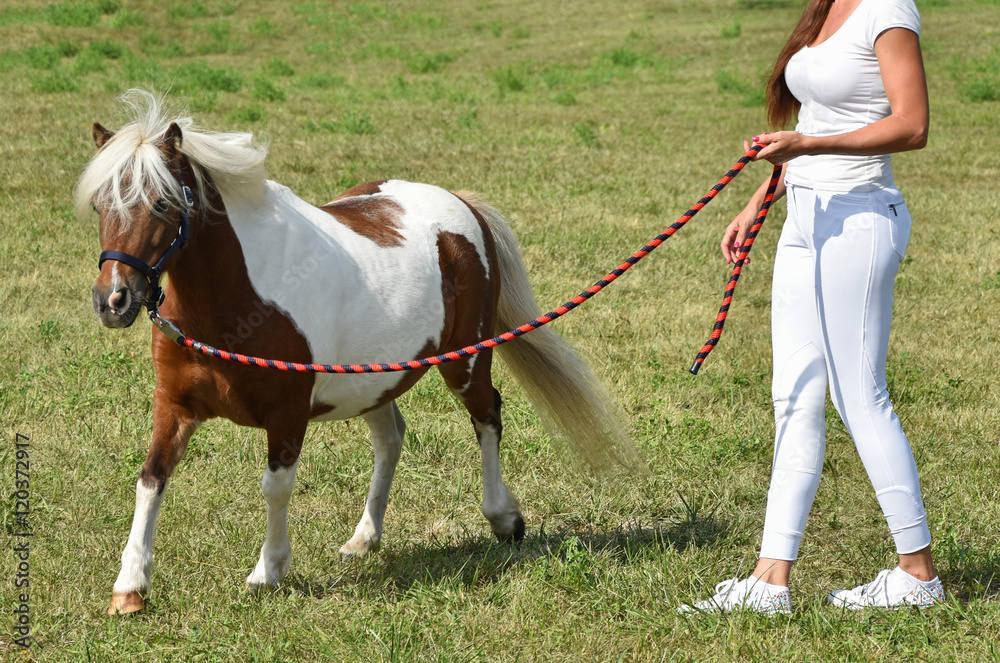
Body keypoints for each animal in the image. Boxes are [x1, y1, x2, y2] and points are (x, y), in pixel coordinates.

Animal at [78, 90, 643, 616]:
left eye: (160, 203)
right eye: (100, 206)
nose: (113, 301)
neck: (238, 299)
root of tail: (460, 204)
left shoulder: (288, 414)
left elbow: (275, 487)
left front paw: (269, 571)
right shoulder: (174, 405)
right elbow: (151, 479)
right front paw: (130, 588)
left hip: (466, 362)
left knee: (488, 417)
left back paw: (503, 518)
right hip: (374, 380)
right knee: (391, 438)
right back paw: (364, 539)